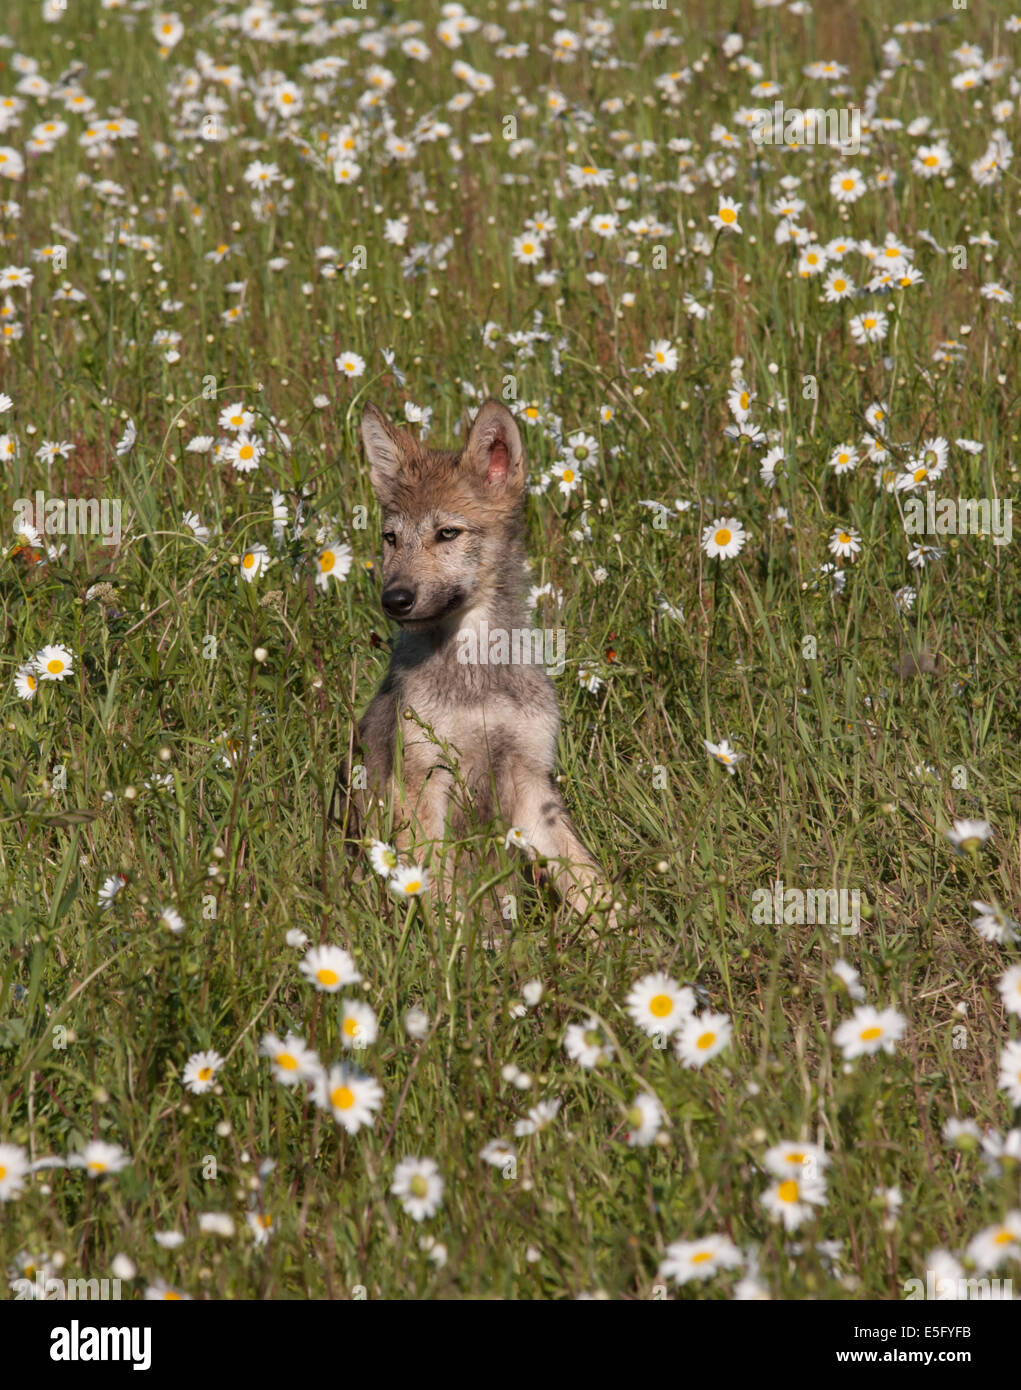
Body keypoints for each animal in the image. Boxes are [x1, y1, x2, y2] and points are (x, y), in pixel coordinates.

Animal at [340, 398, 619, 932]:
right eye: (391, 538)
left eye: (447, 533)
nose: (394, 599)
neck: (477, 675)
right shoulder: (424, 783)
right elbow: (442, 895)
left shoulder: (530, 781)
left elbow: (591, 883)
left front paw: (635, 942)